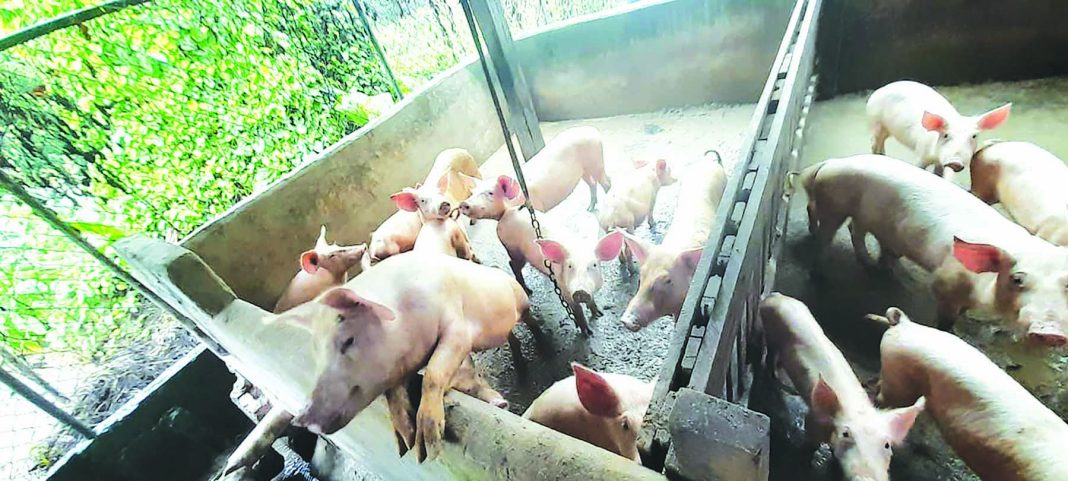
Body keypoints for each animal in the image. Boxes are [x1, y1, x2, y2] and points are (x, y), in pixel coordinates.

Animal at [266, 252, 537, 462]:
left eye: (348, 340)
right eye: (316, 350)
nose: (302, 418)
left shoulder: (457, 328)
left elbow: (434, 372)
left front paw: (428, 449)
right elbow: (392, 395)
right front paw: (404, 445)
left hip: (519, 300)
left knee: (528, 320)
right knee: (511, 337)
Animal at [459, 126, 610, 219]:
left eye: (490, 193)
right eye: (472, 193)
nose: (463, 204)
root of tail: (592, 130)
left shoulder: (537, 206)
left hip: (596, 161)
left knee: (606, 182)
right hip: (584, 170)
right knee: (592, 183)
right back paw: (589, 208)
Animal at [760, 293, 923, 481]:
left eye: (887, 445)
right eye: (846, 434)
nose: (866, 478)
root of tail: (776, 296)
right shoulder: (814, 418)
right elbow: (810, 443)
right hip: (768, 332)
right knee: (770, 353)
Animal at [800, 154, 1068, 346]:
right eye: (1017, 279)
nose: (1052, 332)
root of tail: (831, 163)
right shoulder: (944, 281)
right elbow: (945, 320)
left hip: (864, 215)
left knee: (856, 231)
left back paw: (874, 267)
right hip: (833, 204)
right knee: (825, 236)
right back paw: (820, 274)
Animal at [866, 80, 1011, 181]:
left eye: (974, 136)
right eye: (946, 135)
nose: (955, 162)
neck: (935, 157)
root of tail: (881, 89)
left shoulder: (941, 162)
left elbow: (940, 173)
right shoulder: (921, 151)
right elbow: (918, 166)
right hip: (875, 123)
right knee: (875, 143)